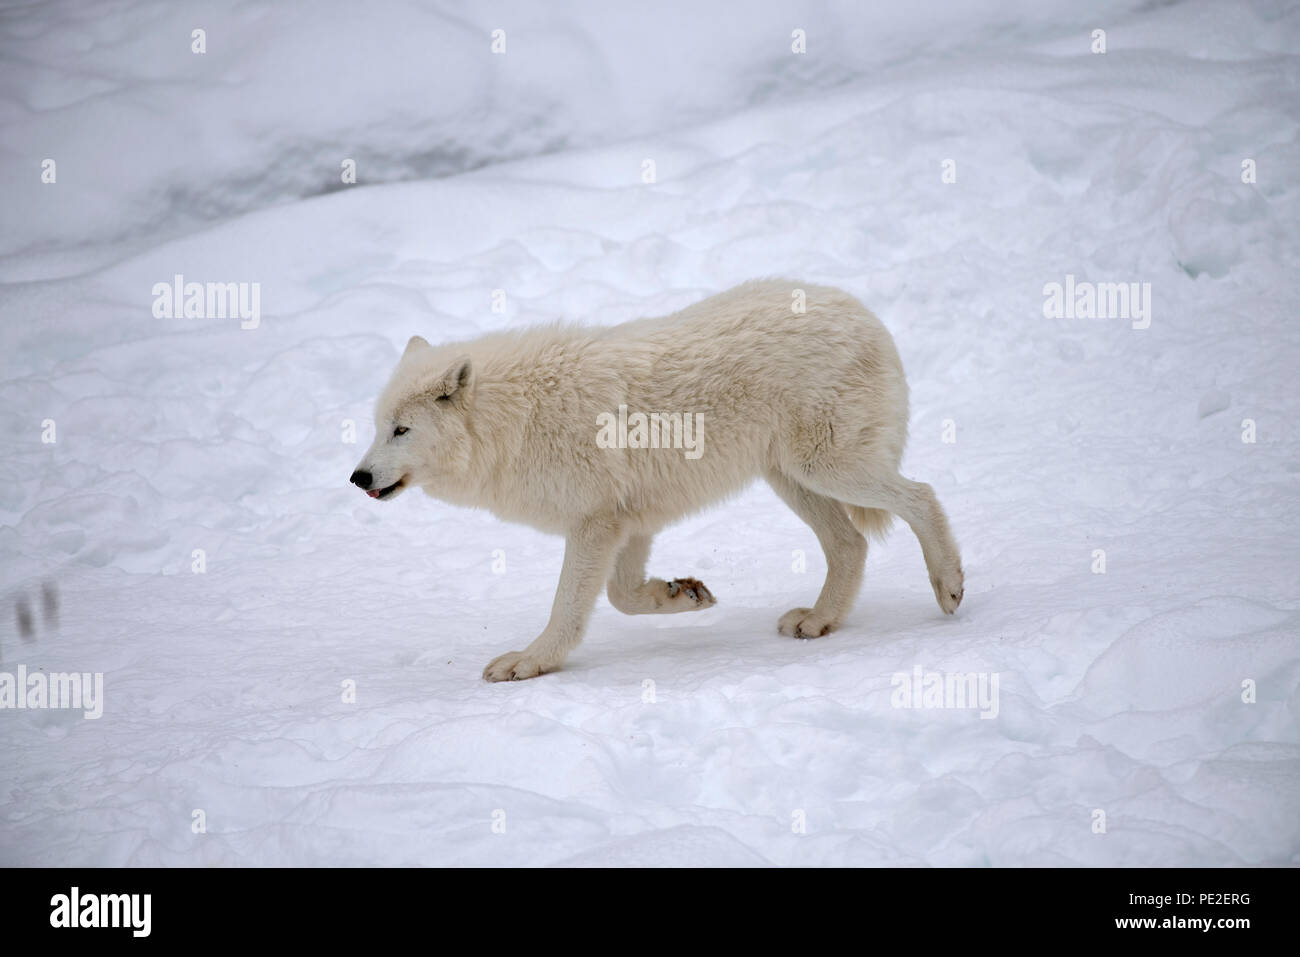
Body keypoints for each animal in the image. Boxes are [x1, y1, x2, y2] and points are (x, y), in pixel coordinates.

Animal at [351, 280, 963, 681]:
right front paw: (682, 595)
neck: (517, 418)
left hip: (827, 469)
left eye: (402, 430)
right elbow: (623, 597)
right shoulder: (630, 522)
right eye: (379, 427)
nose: (358, 477)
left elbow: (569, 606)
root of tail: (862, 312)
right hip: (791, 478)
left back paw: (949, 586)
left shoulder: (594, 523)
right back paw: (819, 621)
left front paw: (532, 662)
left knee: (923, 496)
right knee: (851, 543)